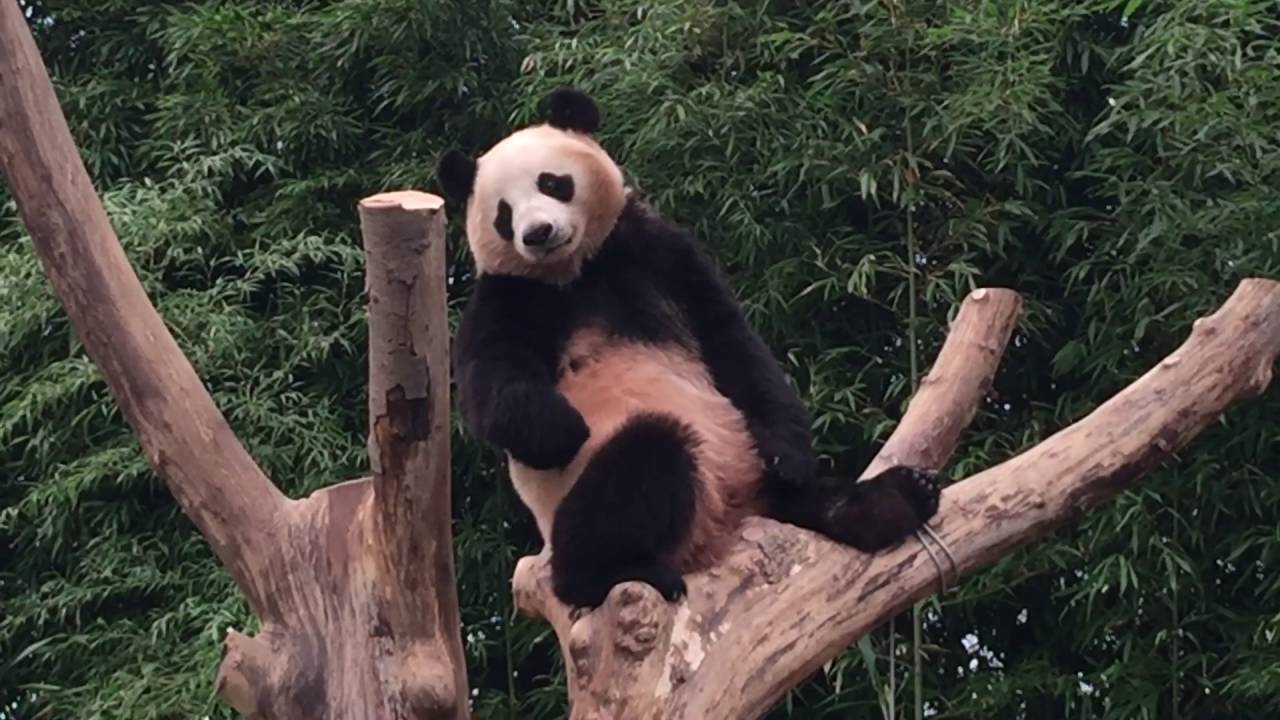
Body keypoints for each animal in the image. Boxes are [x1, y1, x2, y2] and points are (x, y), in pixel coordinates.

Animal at [437, 88, 940, 609]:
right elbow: (491, 385)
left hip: (752, 473)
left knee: (804, 497)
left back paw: (896, 498)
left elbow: (732, 341)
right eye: (504, 213)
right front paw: (561, 428)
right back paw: (611, 572)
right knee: (645, 462)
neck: (576, 270)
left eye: (552, 183)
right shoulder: (510, 296)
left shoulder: (658, 254)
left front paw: (789, 455)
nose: (536, 233)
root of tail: (726, 528)